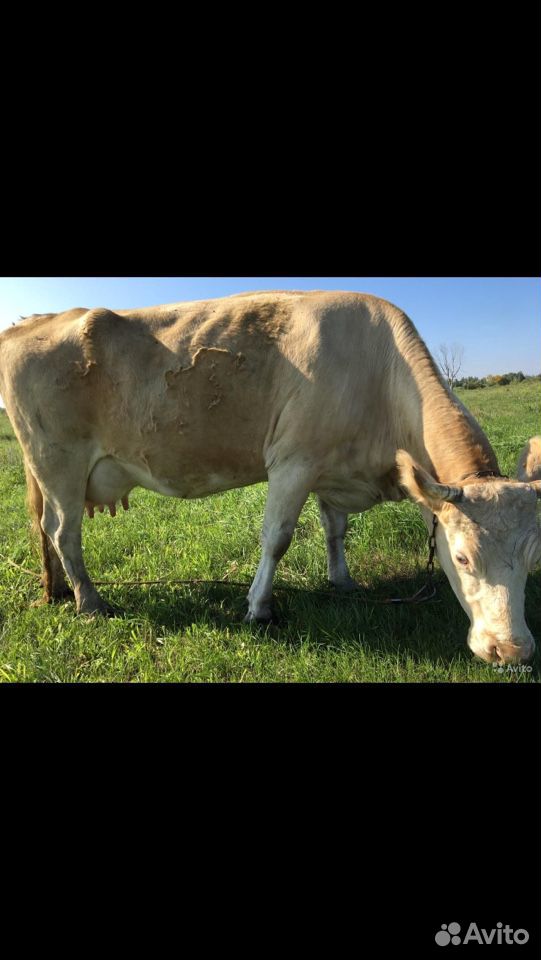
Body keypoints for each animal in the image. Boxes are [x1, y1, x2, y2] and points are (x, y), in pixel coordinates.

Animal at [0, 291, 539, 664]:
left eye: (535, 557)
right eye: (463, 557)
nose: (511, 651)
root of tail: (31, 323)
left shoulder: (329, 467)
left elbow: (335, 530)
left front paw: (342, 581)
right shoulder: (292, 461)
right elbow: (276, 538)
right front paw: (258, 608)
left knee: (50, 535)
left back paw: (61, 592)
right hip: (60, 463)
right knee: (63, 532)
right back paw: (90, 601)